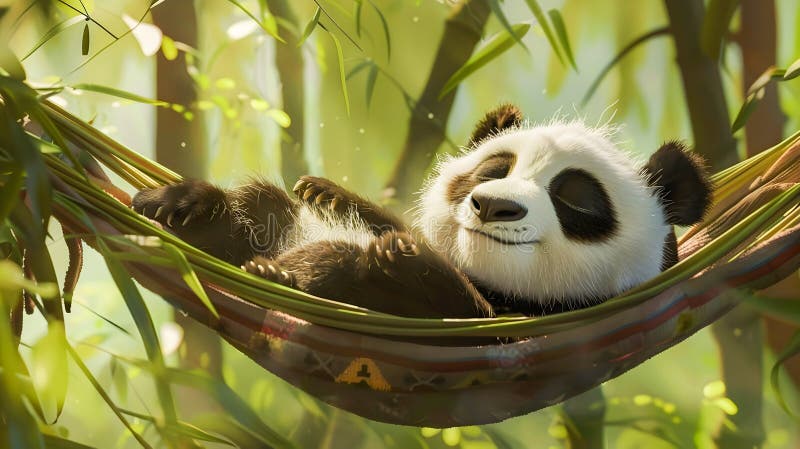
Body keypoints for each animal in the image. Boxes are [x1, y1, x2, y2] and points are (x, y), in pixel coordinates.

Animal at [132, 104, 712, 320]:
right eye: (492, 171)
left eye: (575, 199)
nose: (492, 205)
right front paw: (327, 193)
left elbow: (456, 304)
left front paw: (400, 258)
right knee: (259, 204)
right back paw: (182, 209)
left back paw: (275, 272)